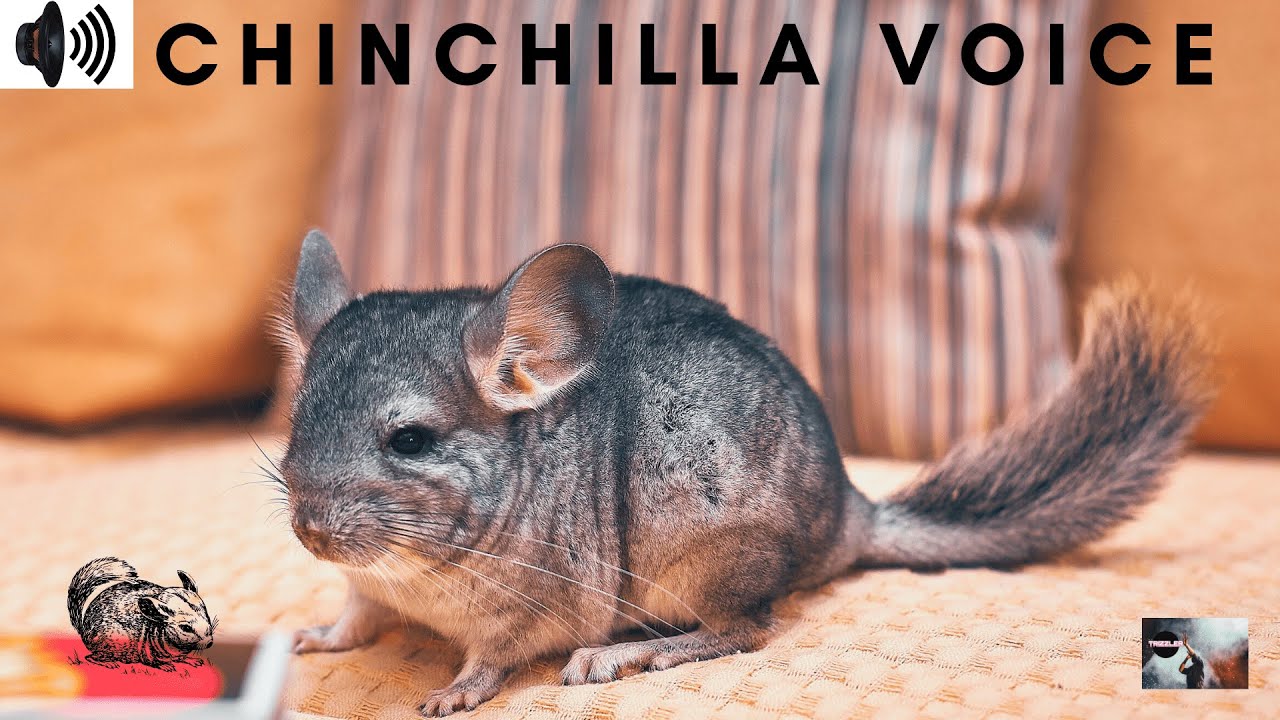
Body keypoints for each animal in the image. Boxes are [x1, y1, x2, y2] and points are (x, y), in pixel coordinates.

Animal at [67, 557, 215, 670]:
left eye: (207, 615)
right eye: (186, 628)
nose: (209, 643)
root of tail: (83, 632)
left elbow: (181, 659)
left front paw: (192, 661)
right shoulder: (146, 651)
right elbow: (153, 662)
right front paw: (166, 666)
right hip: (115, 641)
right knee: (90, 657)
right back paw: (110, 663)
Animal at [278, 231, 1213, 716]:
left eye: (410, 439)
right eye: (296, 420)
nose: (308, 530)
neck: (414, 579)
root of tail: (850, 513)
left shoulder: (526, 611)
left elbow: (490, 659)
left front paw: (447, 695)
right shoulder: (369, 590)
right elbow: (353, 618)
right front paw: (307, 637)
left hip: (706, 556)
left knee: (745, 628)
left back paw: (618, 657)